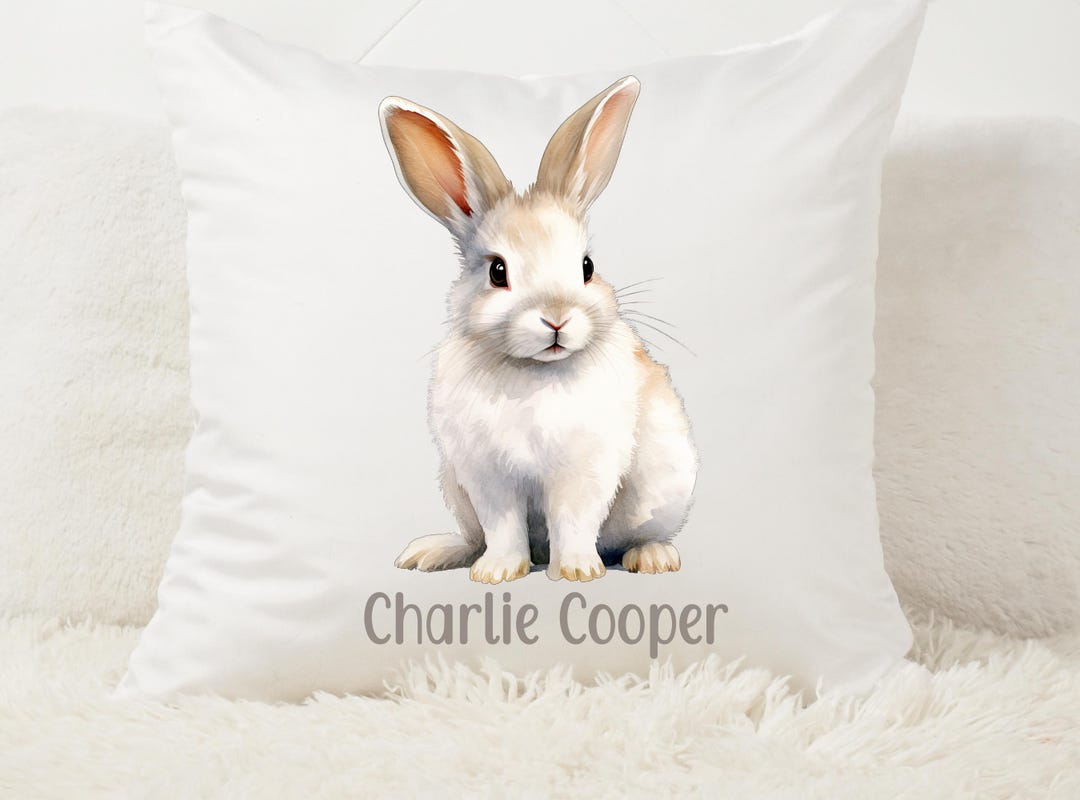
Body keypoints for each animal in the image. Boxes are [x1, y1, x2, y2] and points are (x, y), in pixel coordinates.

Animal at [380, 75, 697, 583]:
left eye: (587, 266)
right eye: (497, 272)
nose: (556, 318)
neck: (534, 372)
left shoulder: (583, 471)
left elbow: (574, 519)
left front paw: (577, 572)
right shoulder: (488, 477)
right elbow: (503, 527)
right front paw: (497, 573)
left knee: (641, 535)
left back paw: (652, 558)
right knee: (474, 537)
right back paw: (432, 552)